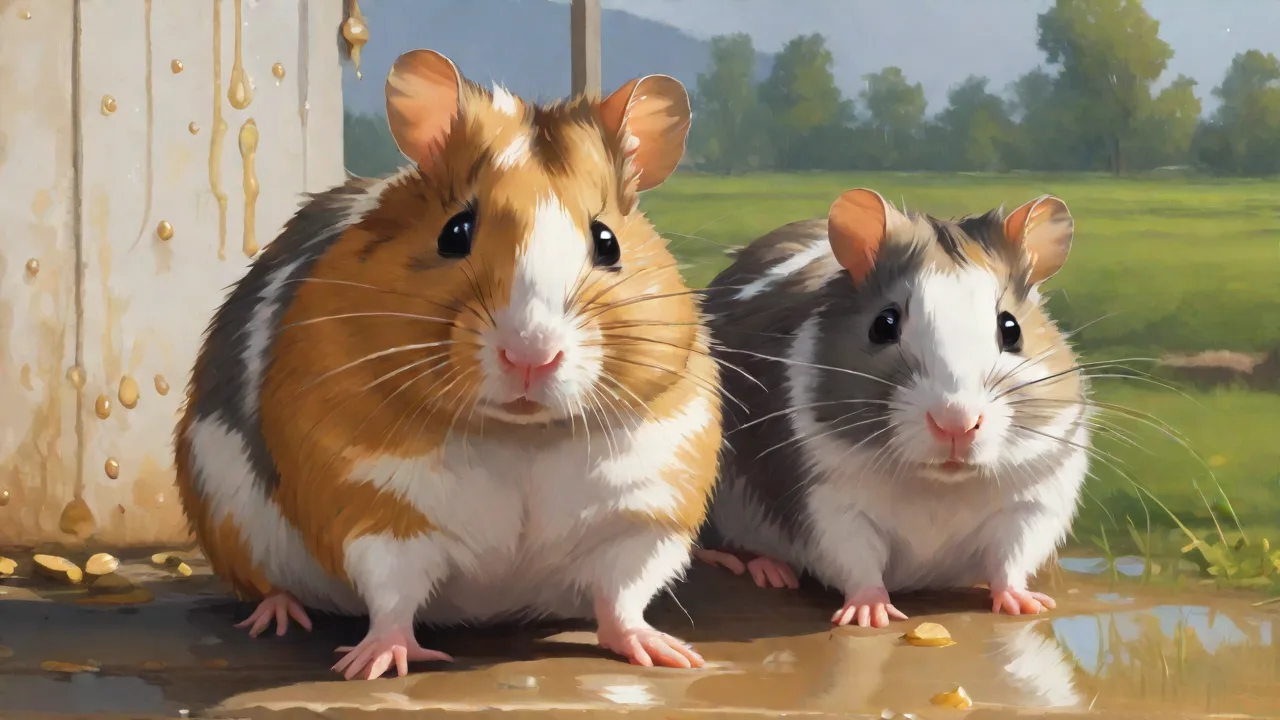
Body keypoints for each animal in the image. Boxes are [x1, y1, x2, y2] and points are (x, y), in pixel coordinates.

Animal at [173, 49, 722, 679]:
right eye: (455, 232)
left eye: (607, 242)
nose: (530, 354)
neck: (521, 437)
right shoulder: (375, 507)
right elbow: (391, 595)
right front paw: (372, 665)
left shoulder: (645, 512)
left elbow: (623, 595)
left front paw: (672, 655)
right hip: (221, 510)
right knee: (265, 585)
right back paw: (279, 616)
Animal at [694, 188, 1087, 628]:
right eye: (883, 324)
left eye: (1011, 329)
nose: (956, 424)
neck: (939, 485)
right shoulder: (829, 504)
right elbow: (856, 561)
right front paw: (870, 614)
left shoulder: (1032, 502)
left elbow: (1011, 560)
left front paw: (1027, 603)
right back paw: (766, 568)